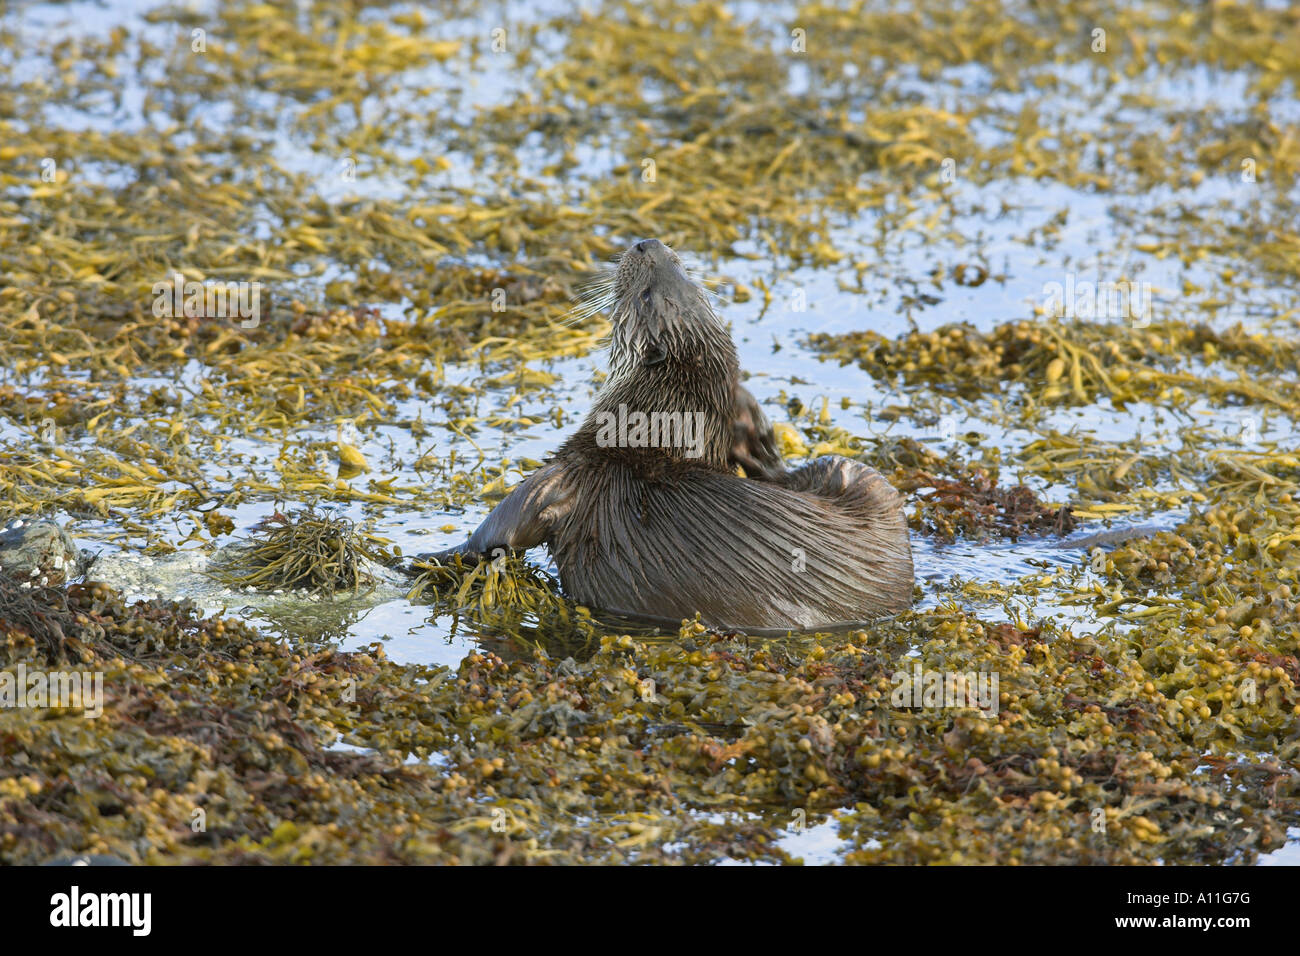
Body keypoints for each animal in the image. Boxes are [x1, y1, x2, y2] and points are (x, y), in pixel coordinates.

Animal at [422, 238, 913, 632]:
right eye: (688, 277)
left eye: (643, 295)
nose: (647, 244)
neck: (644, 430)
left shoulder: (572, 470)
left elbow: (503, 524)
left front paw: (428, 558)